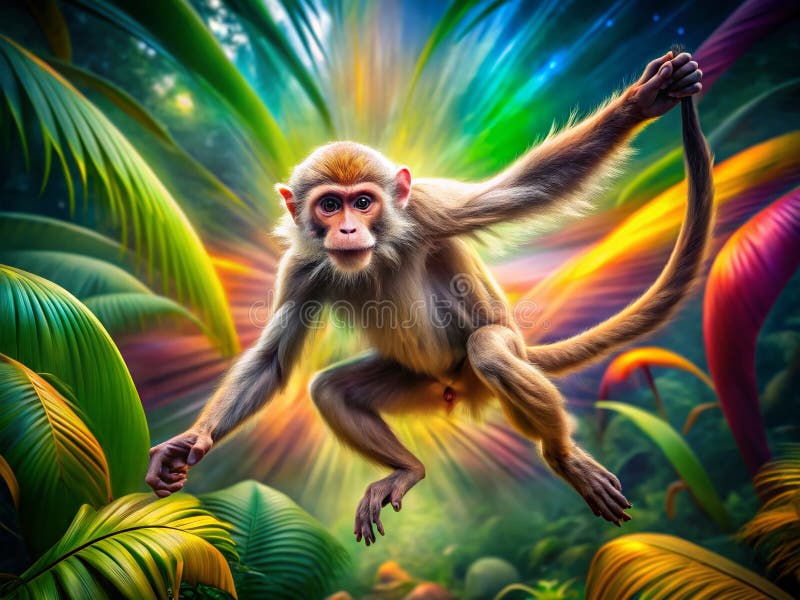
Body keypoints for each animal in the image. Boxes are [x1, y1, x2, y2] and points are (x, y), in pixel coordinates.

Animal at [146, 51, 712, 546]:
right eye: (329, 206)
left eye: (363, 203)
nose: (347, 229)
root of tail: (456, 389)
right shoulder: (301, 269)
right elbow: (273, 361)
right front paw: (193, 442)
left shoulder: (426, 206)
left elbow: (532, 188)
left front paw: (644, 101)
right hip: (418, 384)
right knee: (329, 389)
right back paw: (409, 468)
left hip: (484, 361)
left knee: (489, 350)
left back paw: (561, 455)